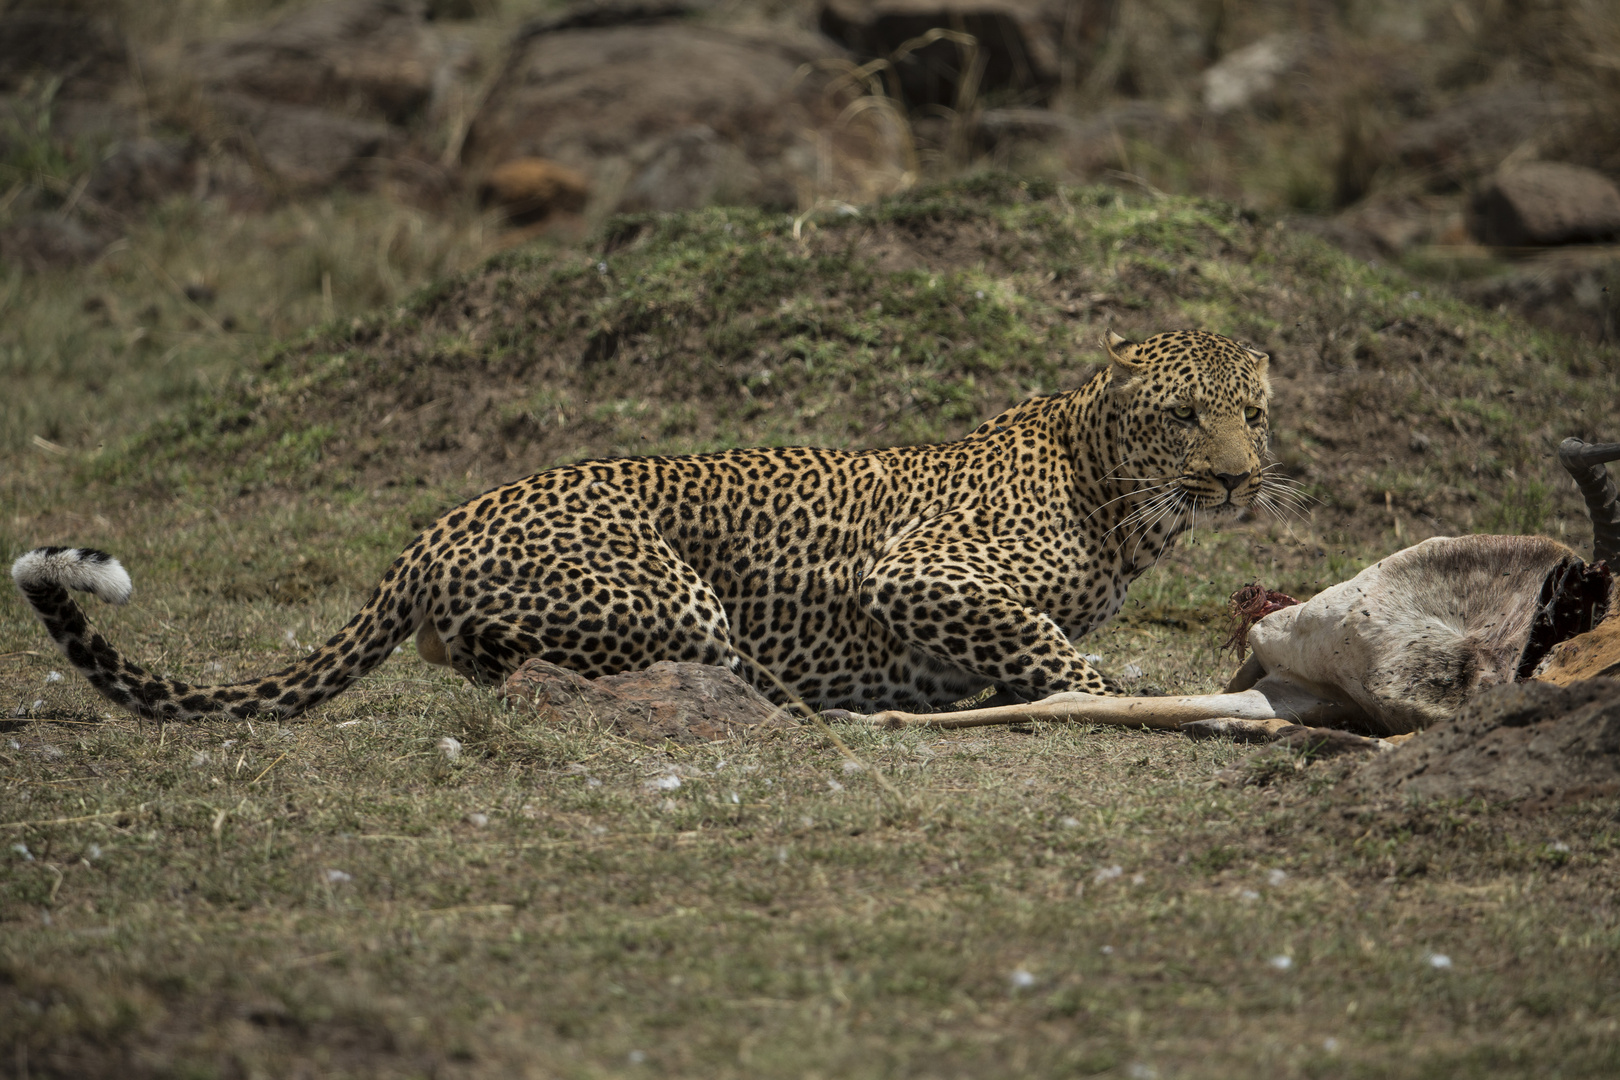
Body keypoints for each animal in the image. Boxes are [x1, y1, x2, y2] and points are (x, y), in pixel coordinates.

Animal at [12, 328, 1277, 722]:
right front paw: (1103, 692)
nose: (1239, 481)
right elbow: (1054, 646)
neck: (1117, 502)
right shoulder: (917, 573)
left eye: (1253, 414)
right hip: (674, 597)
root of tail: (430, 529)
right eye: (1183, 416)